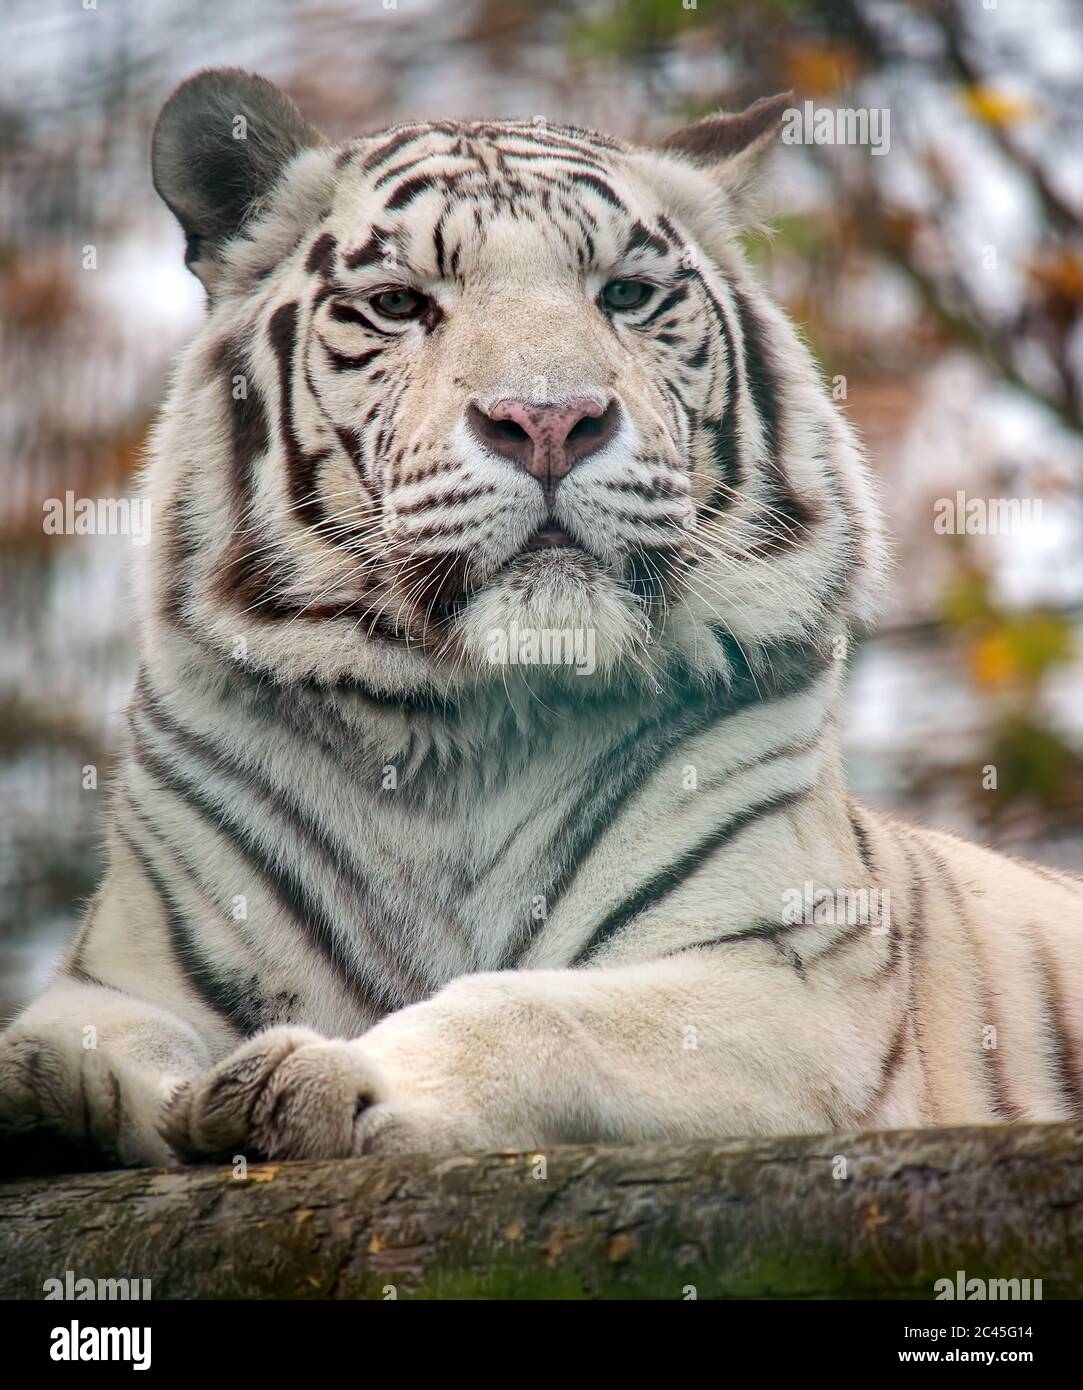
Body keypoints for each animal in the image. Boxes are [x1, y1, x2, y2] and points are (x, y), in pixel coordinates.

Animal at [1, 67, 1081, 1175]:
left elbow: (532, 1011)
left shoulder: (794, 978)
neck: (446, 736)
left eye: (626, 295)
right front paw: (76, 1100)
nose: (551, 421)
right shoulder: (117, 974)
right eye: (399, 304)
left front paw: (316, 1078)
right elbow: (79, 1044)